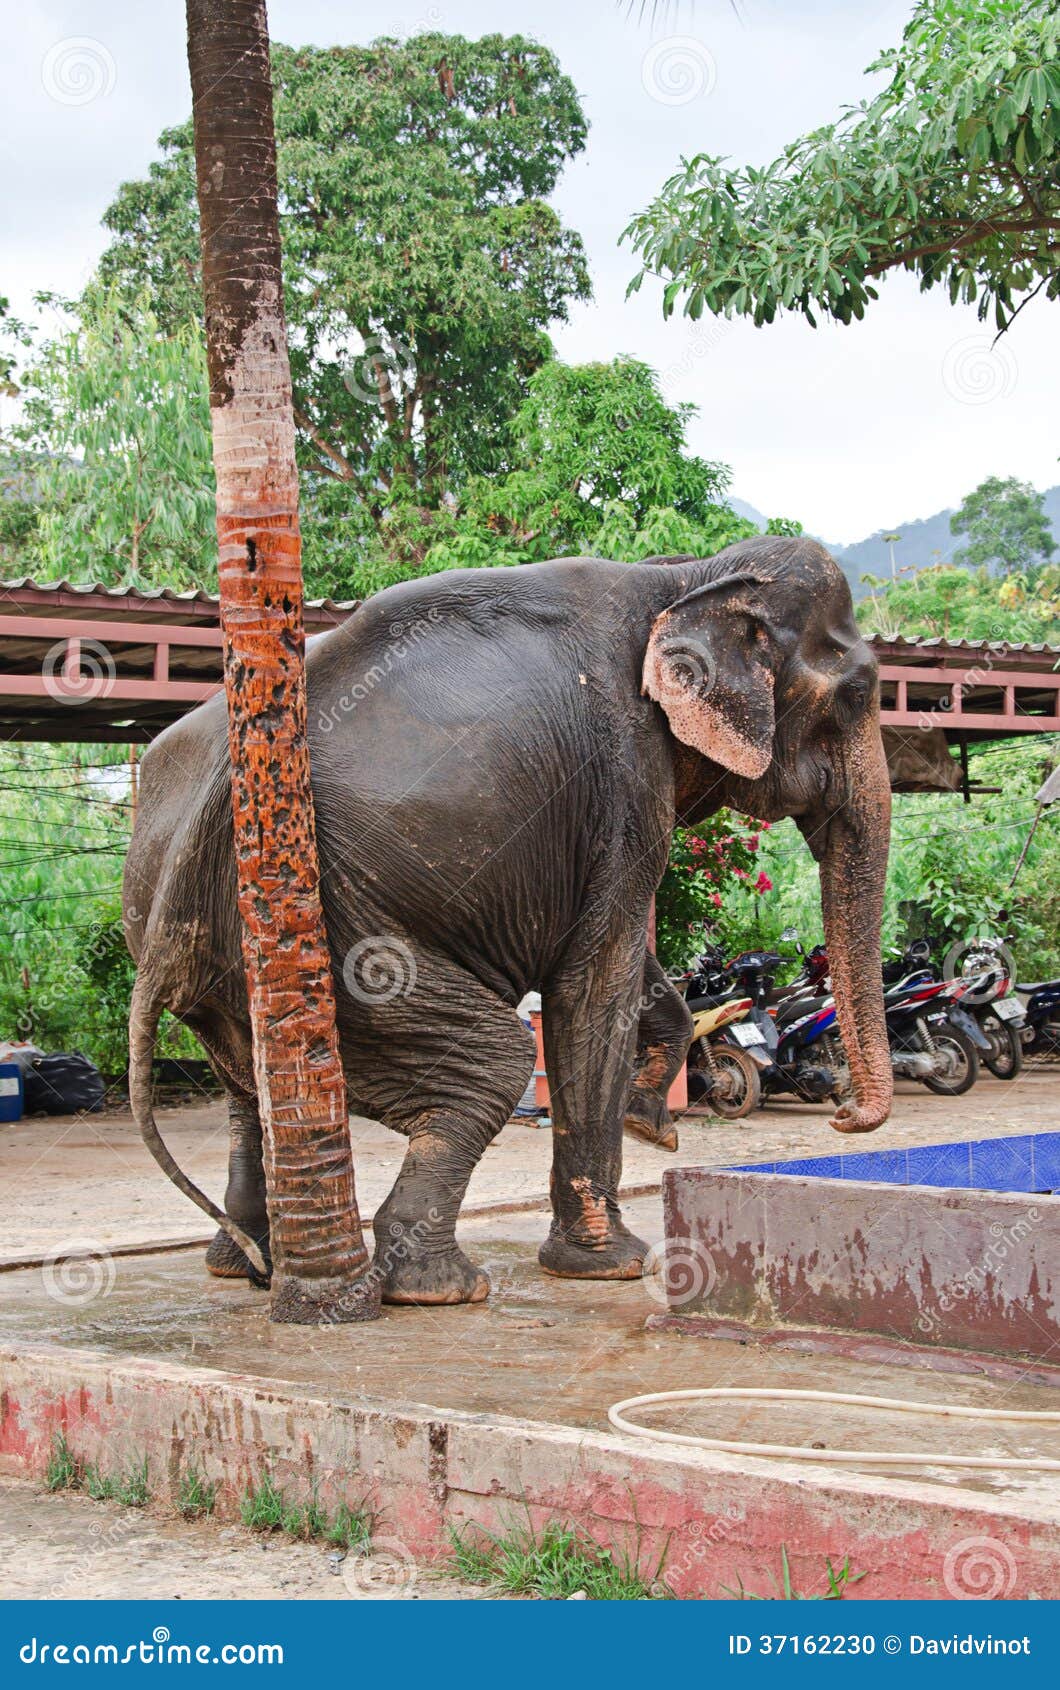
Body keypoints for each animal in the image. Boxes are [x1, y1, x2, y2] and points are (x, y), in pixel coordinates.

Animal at [123, 536, 892, 1306]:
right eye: (857, 694)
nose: (842, 1116)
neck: (684, 579)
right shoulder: (625, 776)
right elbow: (595, 982)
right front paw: (612, 1264)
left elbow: (622, 962)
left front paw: (652, 1126)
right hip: (345, 940)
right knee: (495, 1065)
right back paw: (436, 1287)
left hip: (231, 960)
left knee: (244, 1089)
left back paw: (248, 1264)